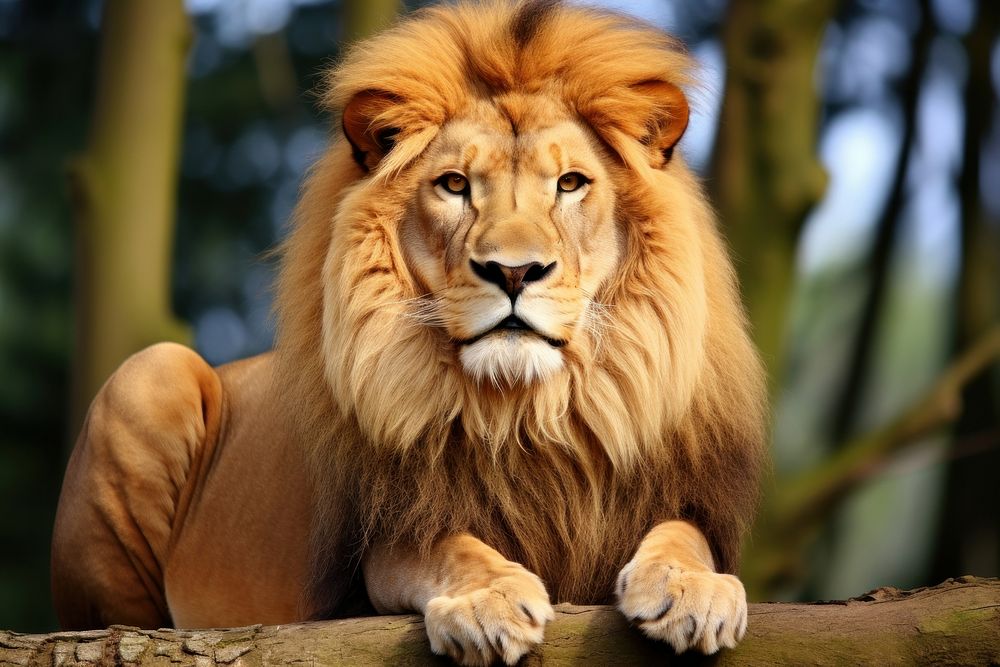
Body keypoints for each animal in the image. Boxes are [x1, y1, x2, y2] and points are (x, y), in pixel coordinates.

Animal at [51, 1, 767, 663]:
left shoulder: (678, 496)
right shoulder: (380, 548)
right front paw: (489, 602)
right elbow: (448, 547)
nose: (514, 271)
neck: (526, 413)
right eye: (454, 185)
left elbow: (684, 535)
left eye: (570, 183)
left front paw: (693, 589)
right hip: (149, 374)